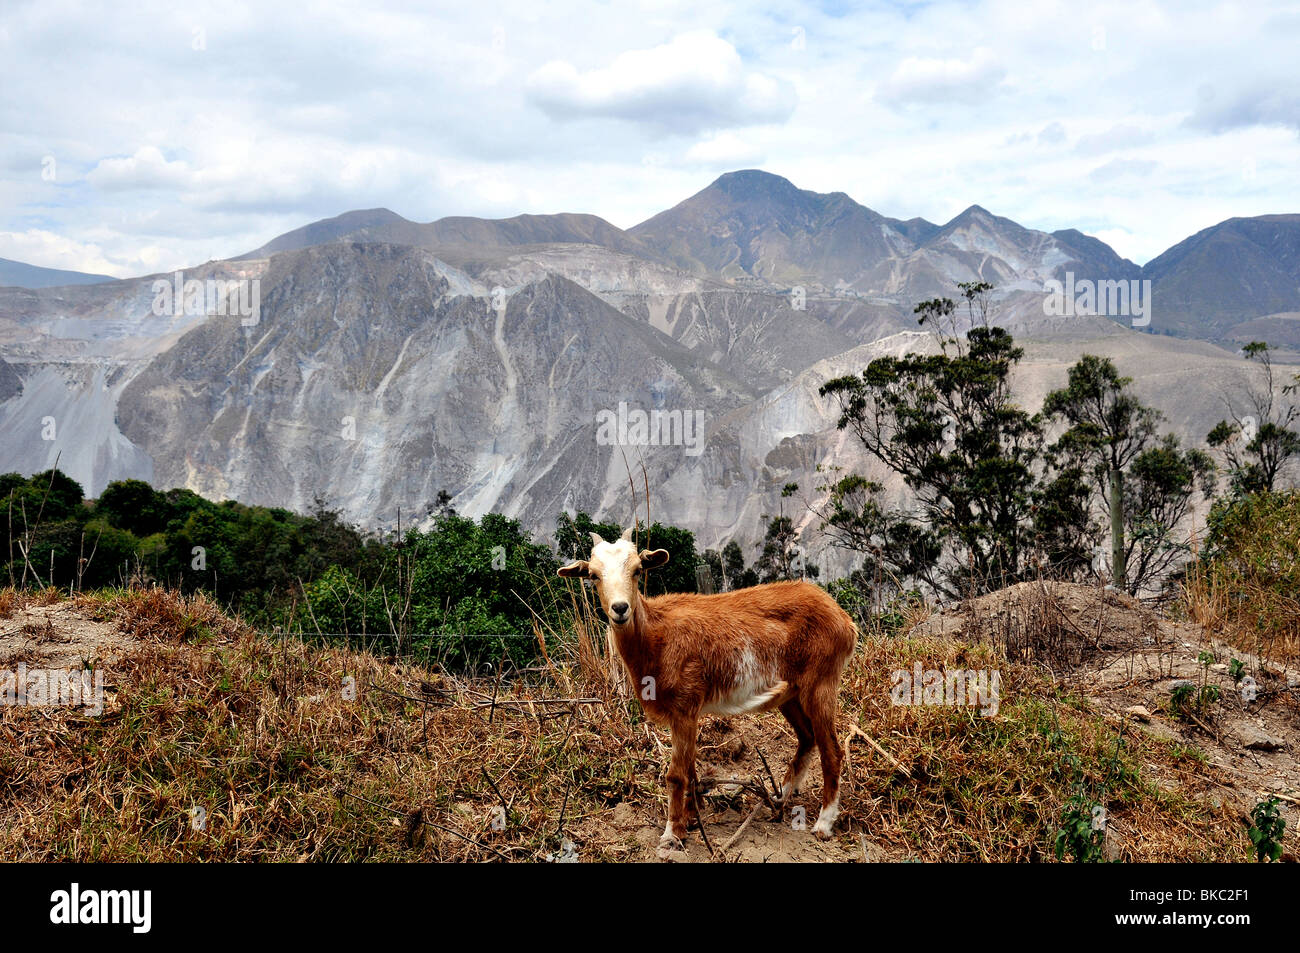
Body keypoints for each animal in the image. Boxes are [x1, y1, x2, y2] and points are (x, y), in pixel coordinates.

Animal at [559, 527, 857, 858]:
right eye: (593, 575)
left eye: (637, 570)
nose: (620, 609)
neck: (655, 638)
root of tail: (844, 619)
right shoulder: (684, 713)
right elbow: (689, 768)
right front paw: (690, 818)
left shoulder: (685, 705)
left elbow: (676, 774)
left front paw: (671, 834)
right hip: (790, 692)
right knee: (807, 738)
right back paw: (779, 797)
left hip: (821, 682)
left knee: (832, 749)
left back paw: (824, 824)